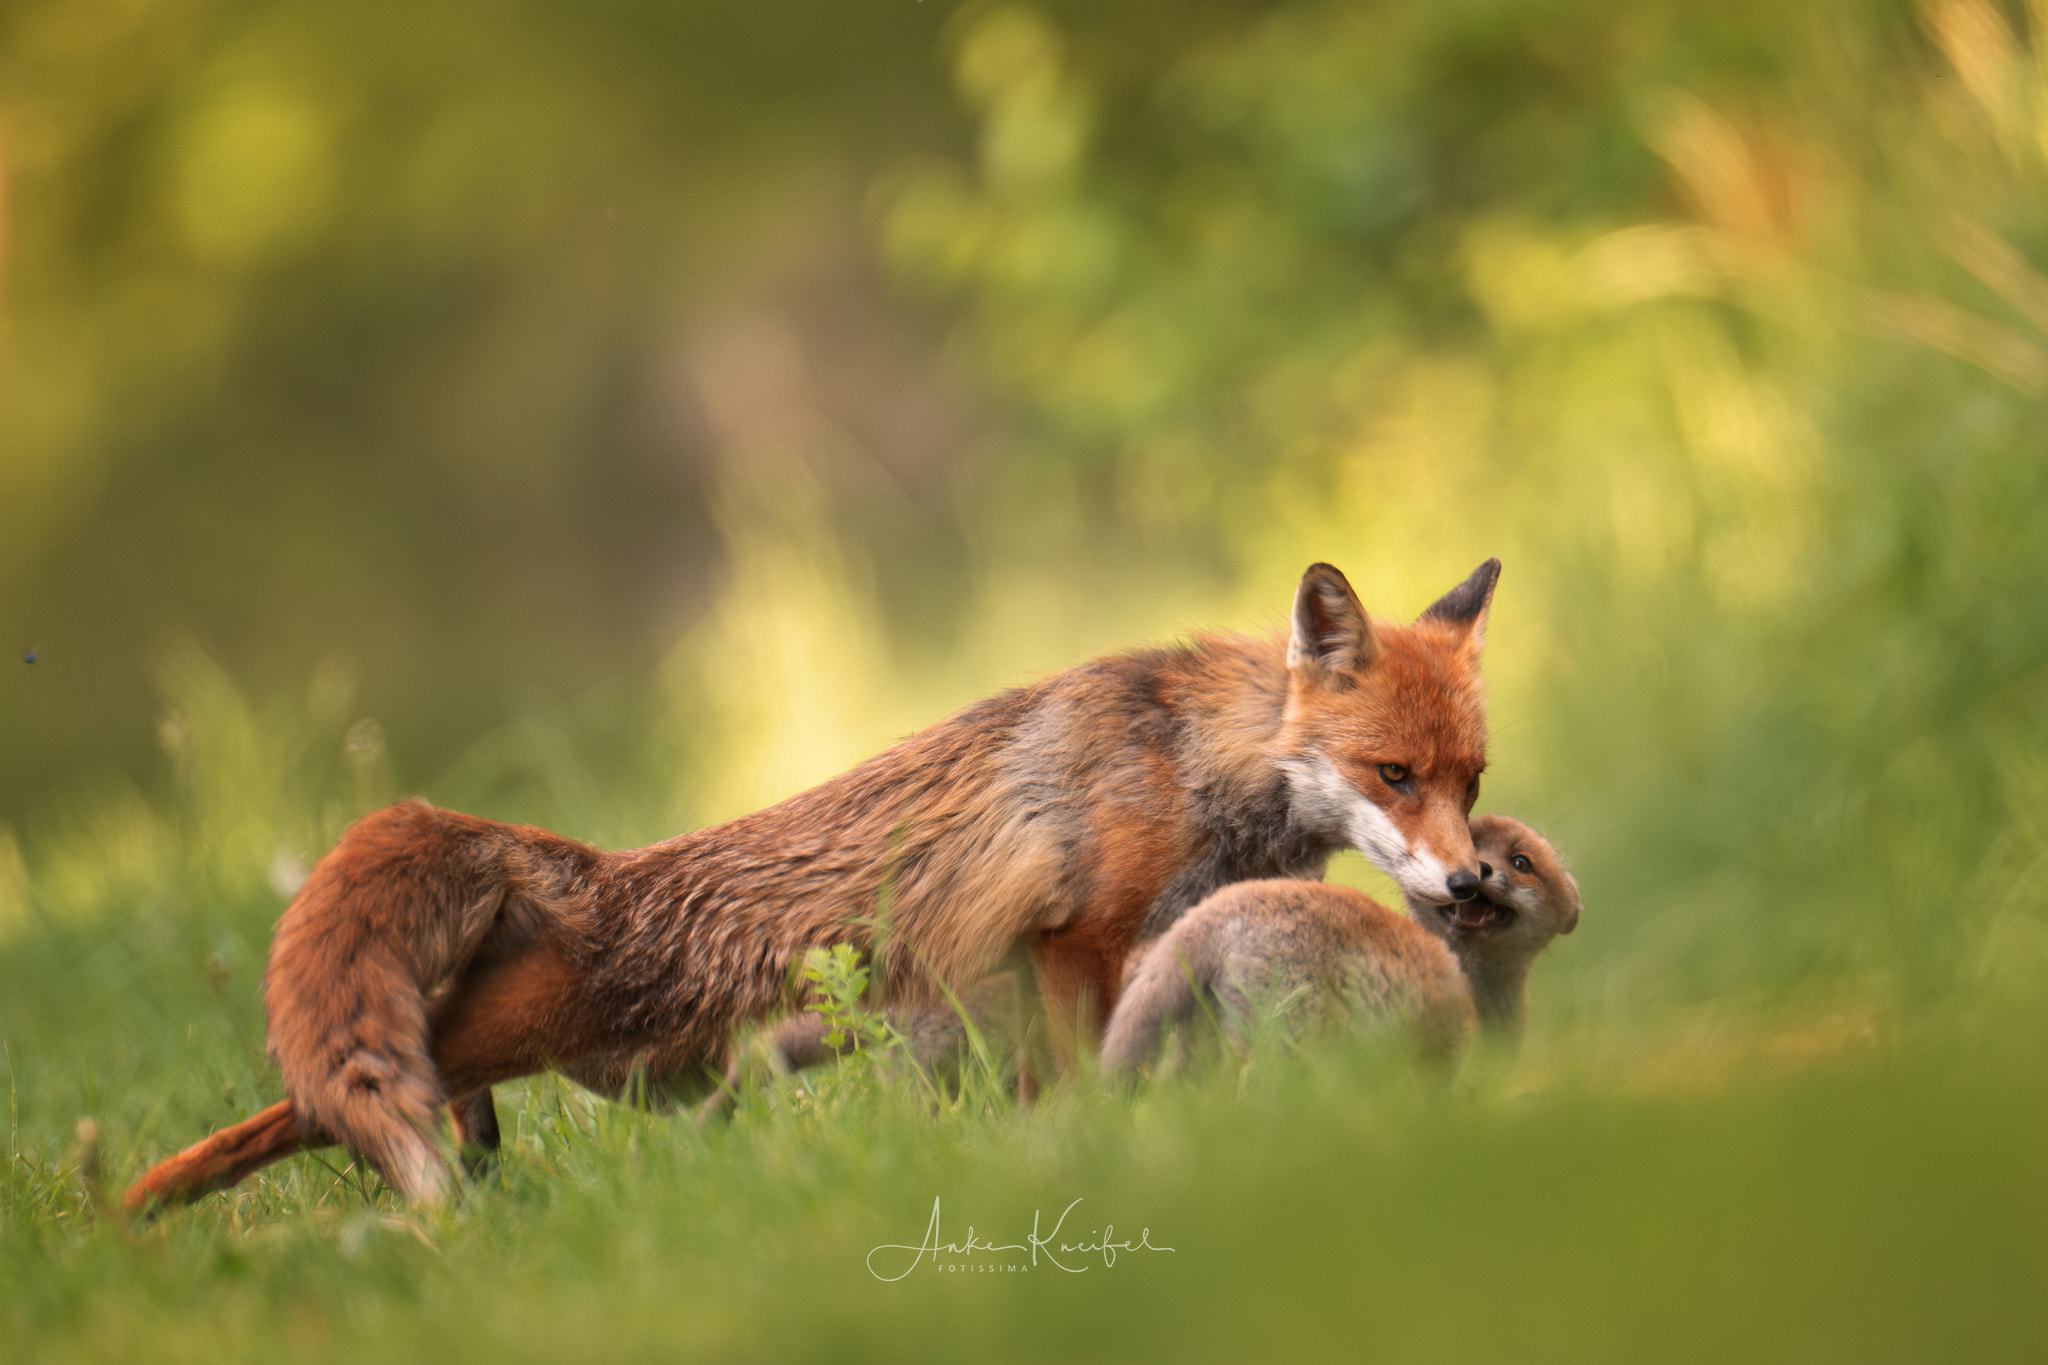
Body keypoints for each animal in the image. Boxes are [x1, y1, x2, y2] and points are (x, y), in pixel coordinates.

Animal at [124, 557, 1500, 1213]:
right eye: (1389, 774)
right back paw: (124, 1218)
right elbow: (1081, 1081)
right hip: (472, 1044)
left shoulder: (1135, 952)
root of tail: (588, 872)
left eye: (1469, 779)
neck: (1191, 764)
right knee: (286, 1117)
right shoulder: (1073, 941)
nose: (1468, 877)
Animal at [1099, 814, 1581, 1075]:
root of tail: (1223, 904)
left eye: (1521, 863)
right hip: (1281, 1037)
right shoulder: (1437, 1065)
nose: (1477, 871)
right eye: (1472, 844)